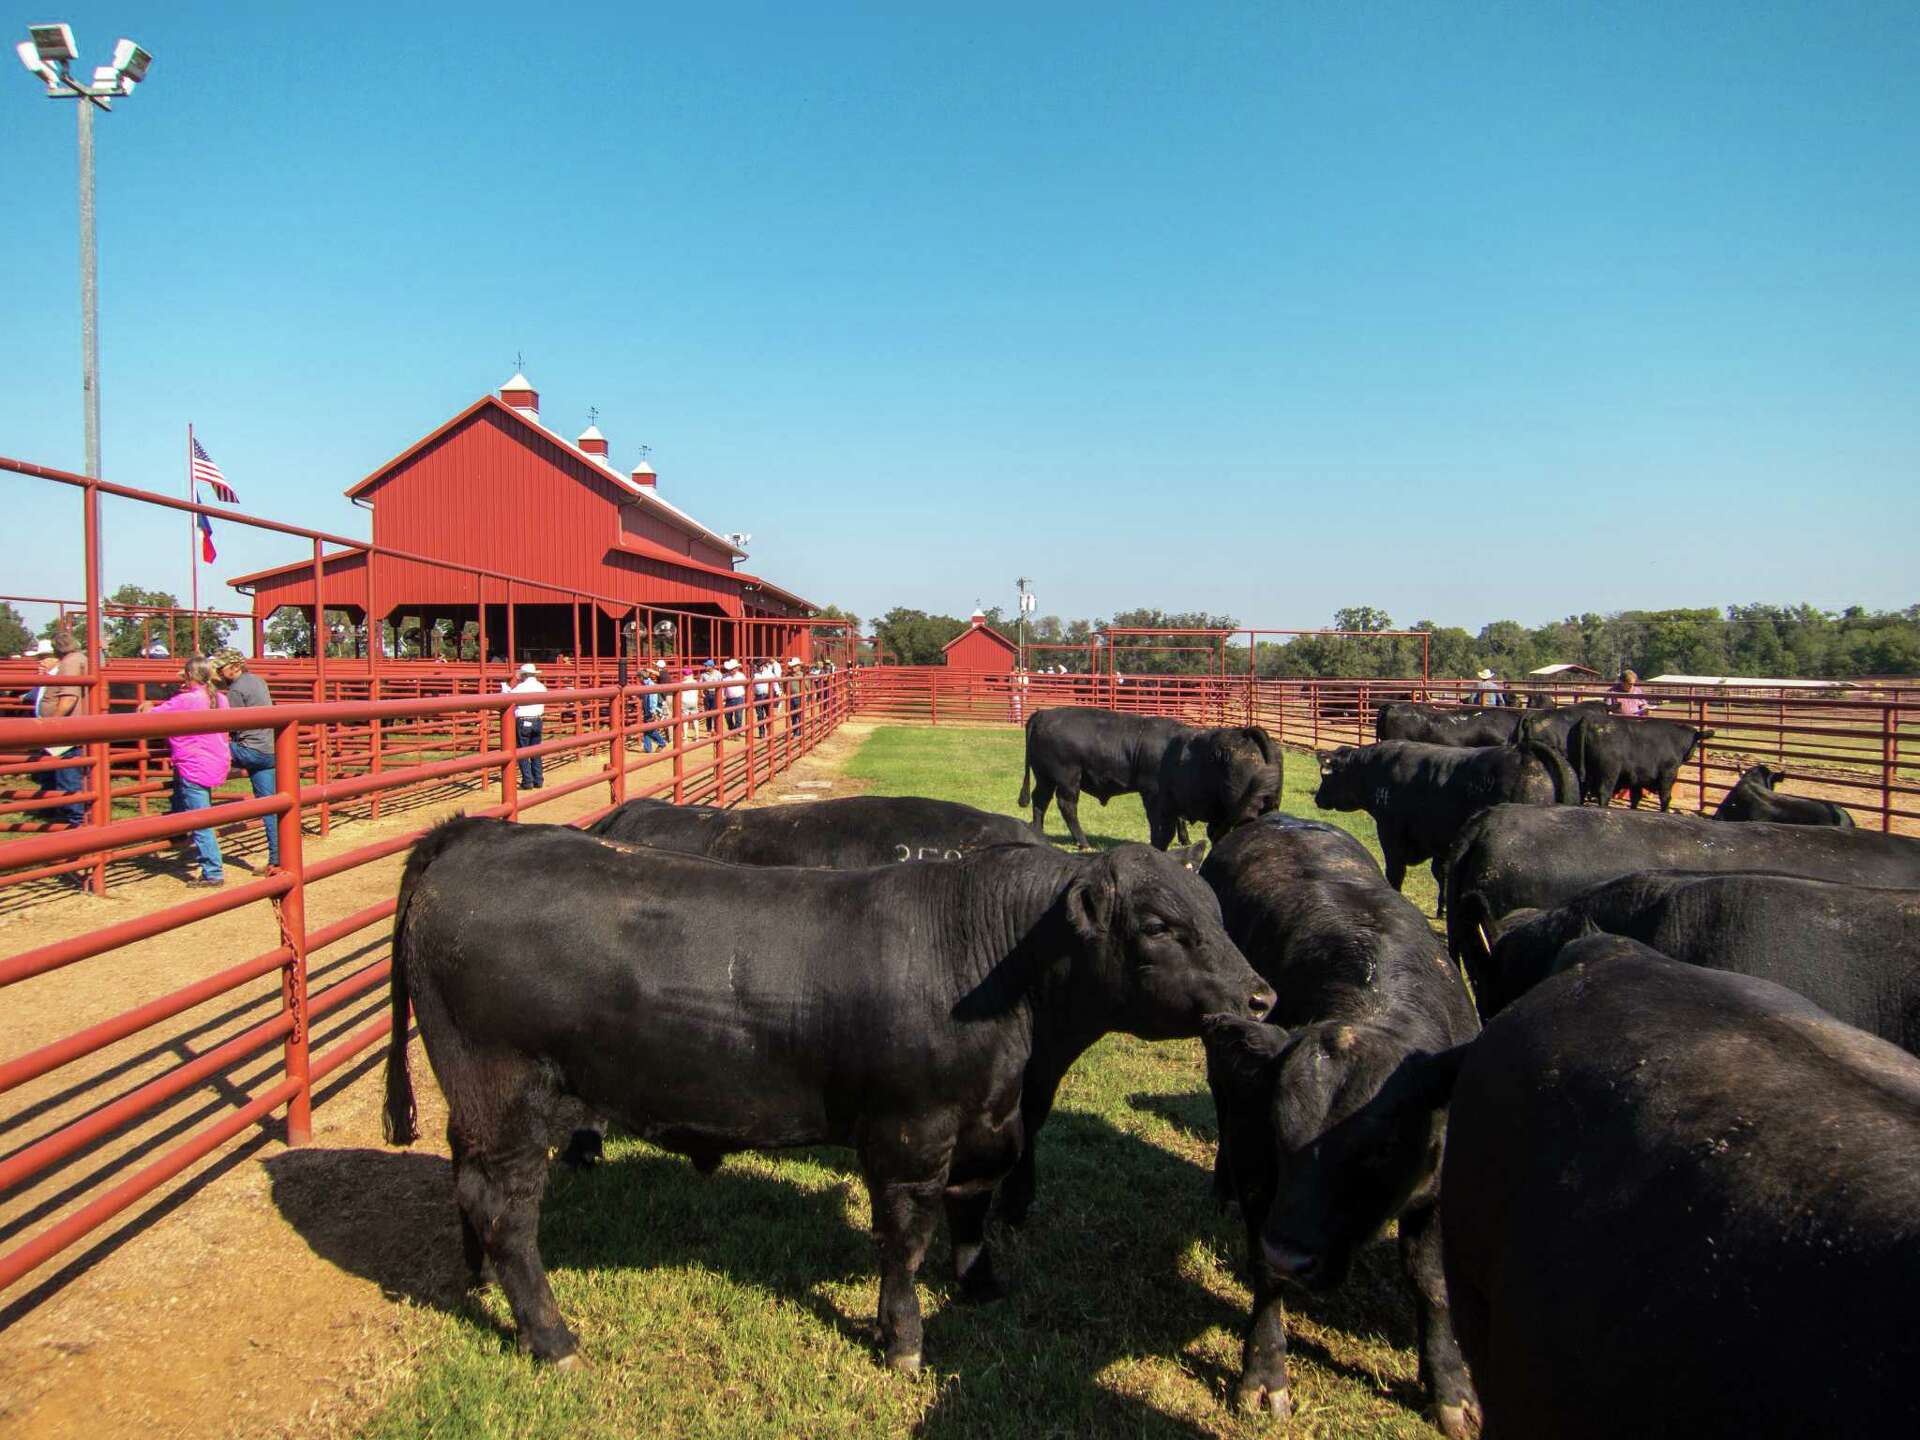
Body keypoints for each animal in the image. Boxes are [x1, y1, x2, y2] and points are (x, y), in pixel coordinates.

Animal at [382, 816, 1274, 1370]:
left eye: (1215, 908)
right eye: (1158, 925)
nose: (1261, 997)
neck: (984, 957)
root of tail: (477, 834)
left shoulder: (989, 1124)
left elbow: (973, 1209)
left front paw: (980, 1285)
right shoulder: (909, 1135)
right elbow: (906, 1238)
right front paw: (903, 1337)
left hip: (475, 1108)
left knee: (466, 1184)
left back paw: (479, 1282)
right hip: (509, 1100)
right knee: (507, 1211)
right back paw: (551, 1335)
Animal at [1016, 706, 1282, 851]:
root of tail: (1043, 714)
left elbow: (1177, 820)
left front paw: (1184, 840)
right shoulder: (1154, 795)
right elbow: (1161, 826)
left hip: (1046, 778)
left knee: (1040, 801)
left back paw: (1038, 832)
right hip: (1068, 779)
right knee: (1066, 805)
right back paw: (1083, 842)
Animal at [1198, 818, 1480, 1435]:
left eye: (1381, 1148)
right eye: (1279, 1132)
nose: (1293, 1254)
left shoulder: (1443, 1189)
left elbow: (1433, 1284)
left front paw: (1451, 1389)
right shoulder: (1258, 1163)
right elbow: (1263, 1270)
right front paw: (1264, 1377)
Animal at [1311, 737, 1577, 915]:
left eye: (1326, 775)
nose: (1318, 799)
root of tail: (1526, 751)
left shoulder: (1391, 833)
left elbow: (1396, 872)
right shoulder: (1440, 841)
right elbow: (1442, 873)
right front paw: (1443, 908)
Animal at [1568, 713, 1713, 810]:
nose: (1691, 755)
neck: (1674, 740)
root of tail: (1590, 720)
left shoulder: (1637, 778)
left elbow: (1635, 799)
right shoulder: (1668, 774)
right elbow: (1665, 798)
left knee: (1581, 790)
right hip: (1609, 772)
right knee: (1604, 792)